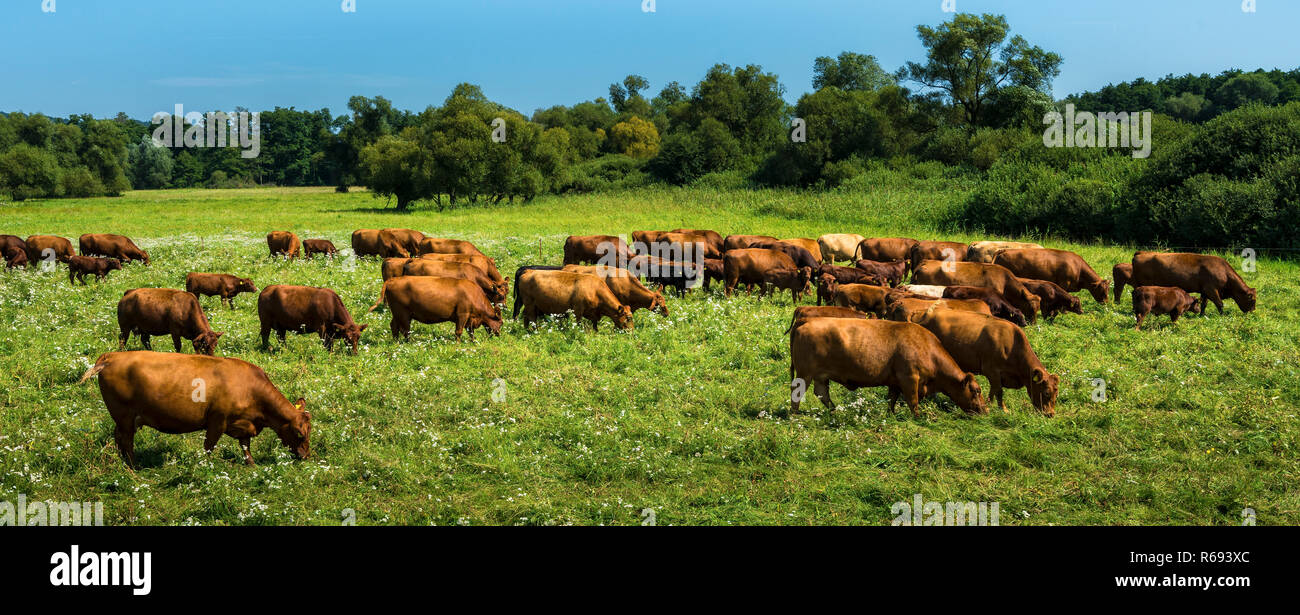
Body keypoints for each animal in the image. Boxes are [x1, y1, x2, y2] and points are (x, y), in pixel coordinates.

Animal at [78, 351, 310, 467]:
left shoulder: (244, 423)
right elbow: (209, 447)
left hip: (125, 419)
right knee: (126, 440)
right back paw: (134, 466)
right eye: (300, 434)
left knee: (119, 438)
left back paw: (124, 462)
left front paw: (252, 467)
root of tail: (111, 356)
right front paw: (205, 468)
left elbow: (246, 447)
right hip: (124, 416)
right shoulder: (217, 421)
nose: (306, 456)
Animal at [372, 276, 502, 341]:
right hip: (403, 313)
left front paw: (473, 342)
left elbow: (470, 332)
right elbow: (458, 332)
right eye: (501, 323)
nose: (498, 334)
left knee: (394, 326)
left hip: (397, 313)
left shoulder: (469, 319)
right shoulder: (462, 314)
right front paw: (458, 344)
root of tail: (392, 280)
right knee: (405, 330)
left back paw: (396, 342)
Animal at [789, 318, 987, 417]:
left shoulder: (895, 382)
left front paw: (890, 415)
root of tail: (805, 322)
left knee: (822, 394)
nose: (986, 410)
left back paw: (835, 411)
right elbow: (913, 401)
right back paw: (795, 415)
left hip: (821, 376)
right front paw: (918, 418)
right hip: (804, 374)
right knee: (797, 394)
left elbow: (892, 400)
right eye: (976, 390)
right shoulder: (909, 379)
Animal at [913, 310, 1059, 416]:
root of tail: (923, 312)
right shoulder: (992, 370)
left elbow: (995, 391)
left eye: (1056, 393)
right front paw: (998, 408)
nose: (1050, 414)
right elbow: (998, 391)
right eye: (1046, 393)